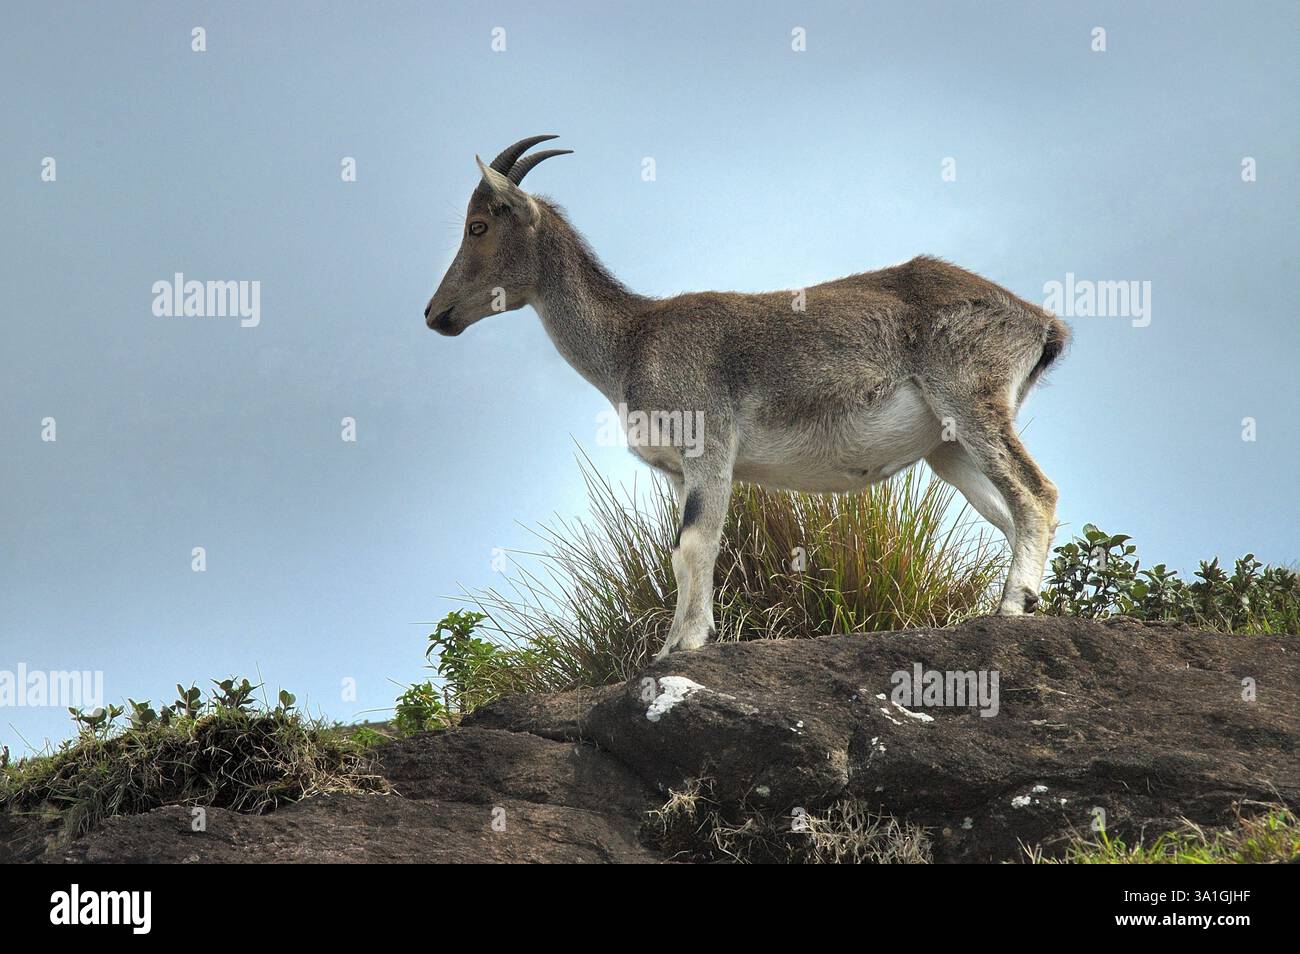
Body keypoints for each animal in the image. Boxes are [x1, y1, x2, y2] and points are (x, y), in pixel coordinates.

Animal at [425, 136, 1069, 659]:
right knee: (1010, 512)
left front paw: (683, 646)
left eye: (479, 225)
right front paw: (677, 644)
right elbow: (690, 552)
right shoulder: (681, 471)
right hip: (948, 448)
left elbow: (694, 545)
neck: (631, 340)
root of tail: (1040, 324)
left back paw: (1012, 606)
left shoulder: (709, 445)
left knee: (1036, 492)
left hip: (971, 401)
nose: (435, 314)